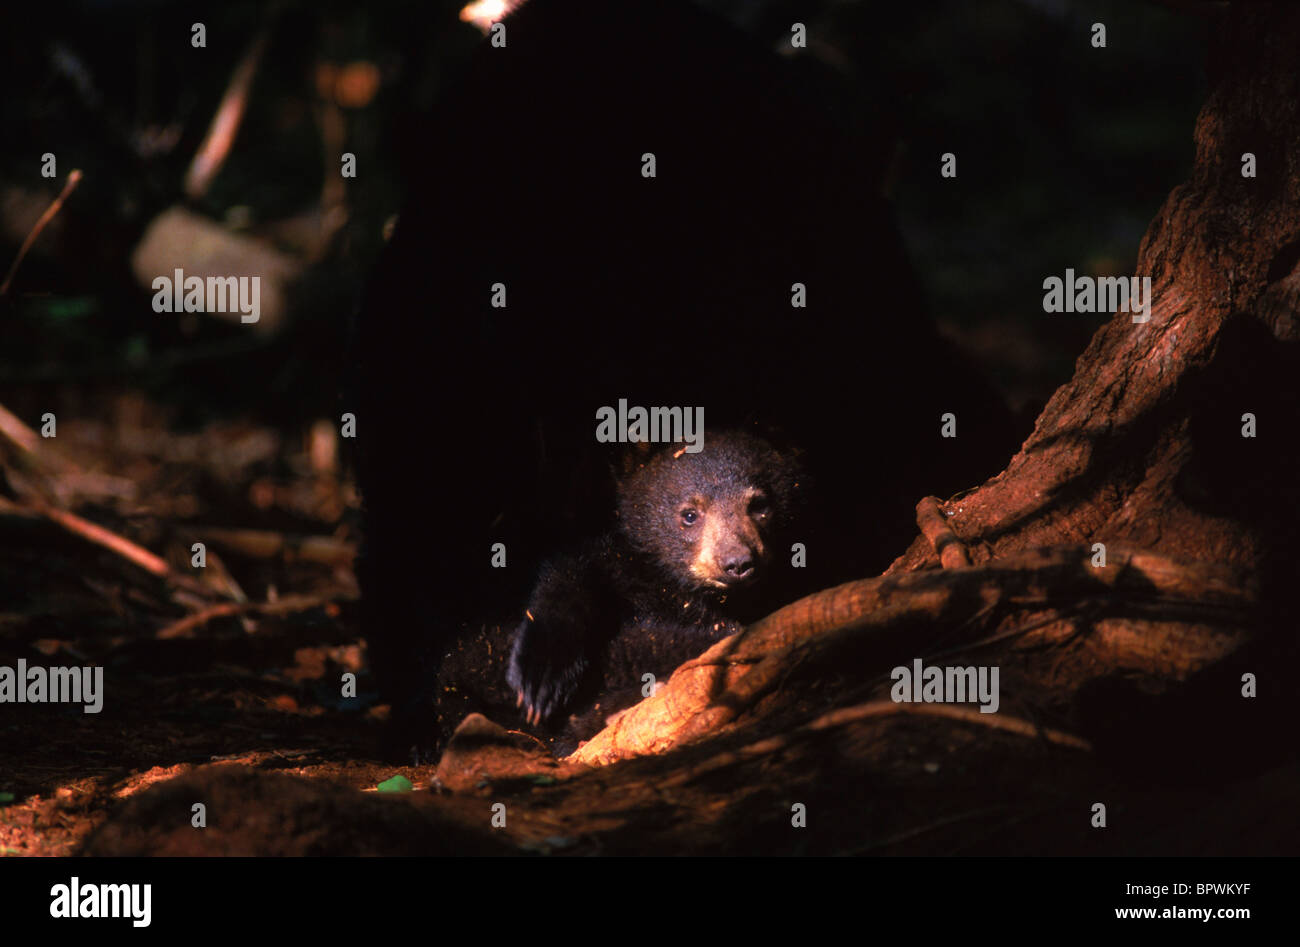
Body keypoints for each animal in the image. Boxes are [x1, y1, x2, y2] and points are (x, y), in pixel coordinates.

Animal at [507, 431, 805, 744]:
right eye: (689, 514)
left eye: (759, 505)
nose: (737, 562)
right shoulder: (623, 564)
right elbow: (571, 573)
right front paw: (539, 678)